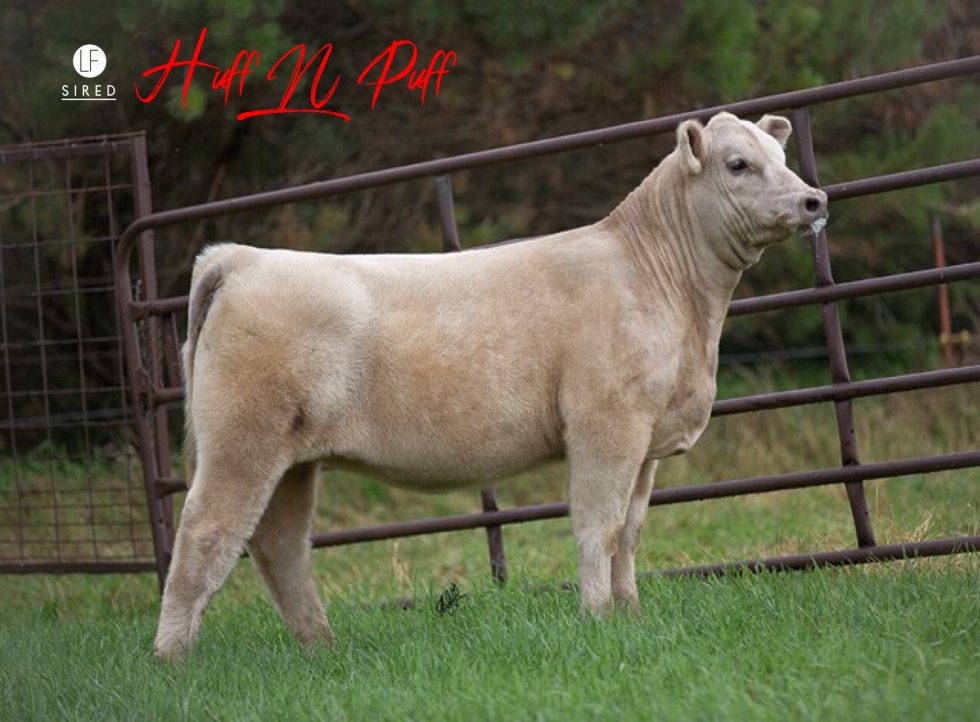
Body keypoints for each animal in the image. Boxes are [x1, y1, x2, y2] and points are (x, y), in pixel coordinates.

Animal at [153, 112, 828, 660]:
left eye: (782, 156)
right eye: (738, 164)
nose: (814, 200)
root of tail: (245, 257)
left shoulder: (647, 439)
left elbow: (631, 531)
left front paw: (630, 615)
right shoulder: (607, 424)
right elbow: (599, 527)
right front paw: (597, 619)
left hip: (292, 459)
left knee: (281, 547)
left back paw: (321, 647)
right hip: (243, 440)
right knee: (207, 536)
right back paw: (172, 661)